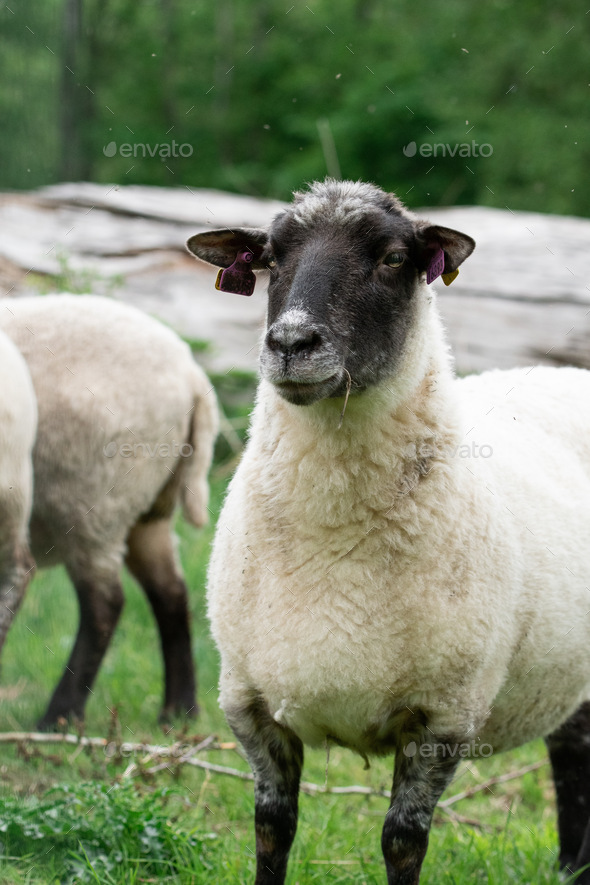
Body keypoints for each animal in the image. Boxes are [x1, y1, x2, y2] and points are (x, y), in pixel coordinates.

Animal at [0, 295, 218, 729]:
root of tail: (191, 377)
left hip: (89, 501)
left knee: (102, 603)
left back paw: (61, 717)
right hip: (146, 507)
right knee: (170, 592)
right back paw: (178, 712)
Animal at [186, 179, 590, 885]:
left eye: (394, 258)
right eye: (269, 259)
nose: (291, 342)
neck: (334, 539)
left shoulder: (442, 716)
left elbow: (402, 841)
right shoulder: (251, 706)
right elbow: (271, 829)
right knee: (571, 750)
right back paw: (569, 867)